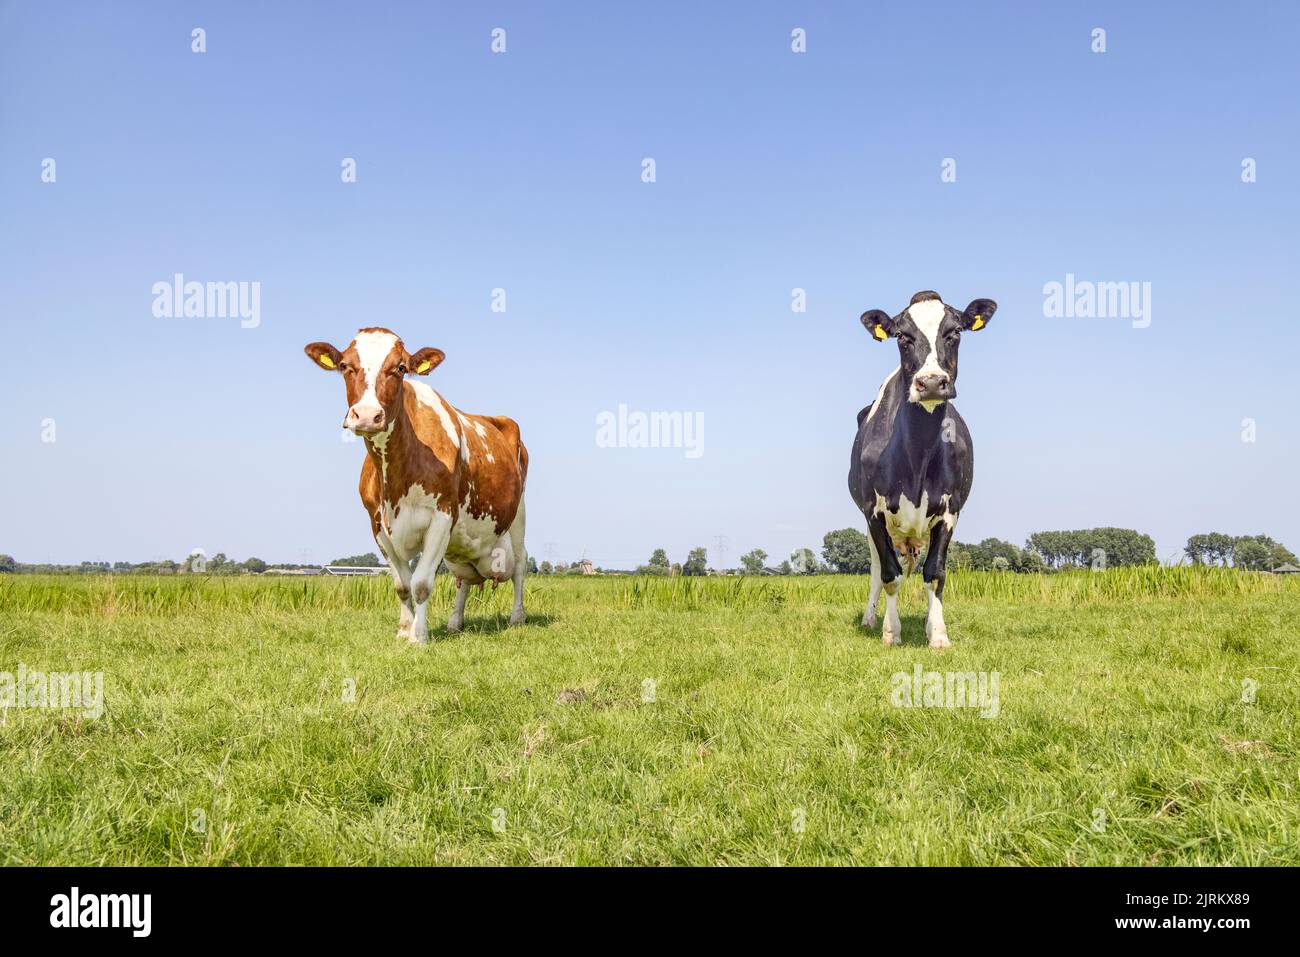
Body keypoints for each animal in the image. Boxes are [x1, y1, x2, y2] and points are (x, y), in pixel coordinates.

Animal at [305, 328, 529, 643]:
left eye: (400, 368)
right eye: (345, 366)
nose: (367, 415)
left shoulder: (441, 516)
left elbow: (421, 583)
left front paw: (419, 635)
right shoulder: (377, 524)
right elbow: (402, 585)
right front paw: (403, 630)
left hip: (518, 516)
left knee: (520, 565)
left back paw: (517, 618)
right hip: (464, 546)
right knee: (464, 579)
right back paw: (455, 622)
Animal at [848, 291, 996, 648]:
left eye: (954, 332)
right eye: (903, 336)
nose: (930, 382)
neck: (917, 451)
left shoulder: (949, 510)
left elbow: (936, 573)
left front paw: (938, 634)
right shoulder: (873, 511)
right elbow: (889, 574)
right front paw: (891, 631)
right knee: (876, 569)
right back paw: (870, 619)